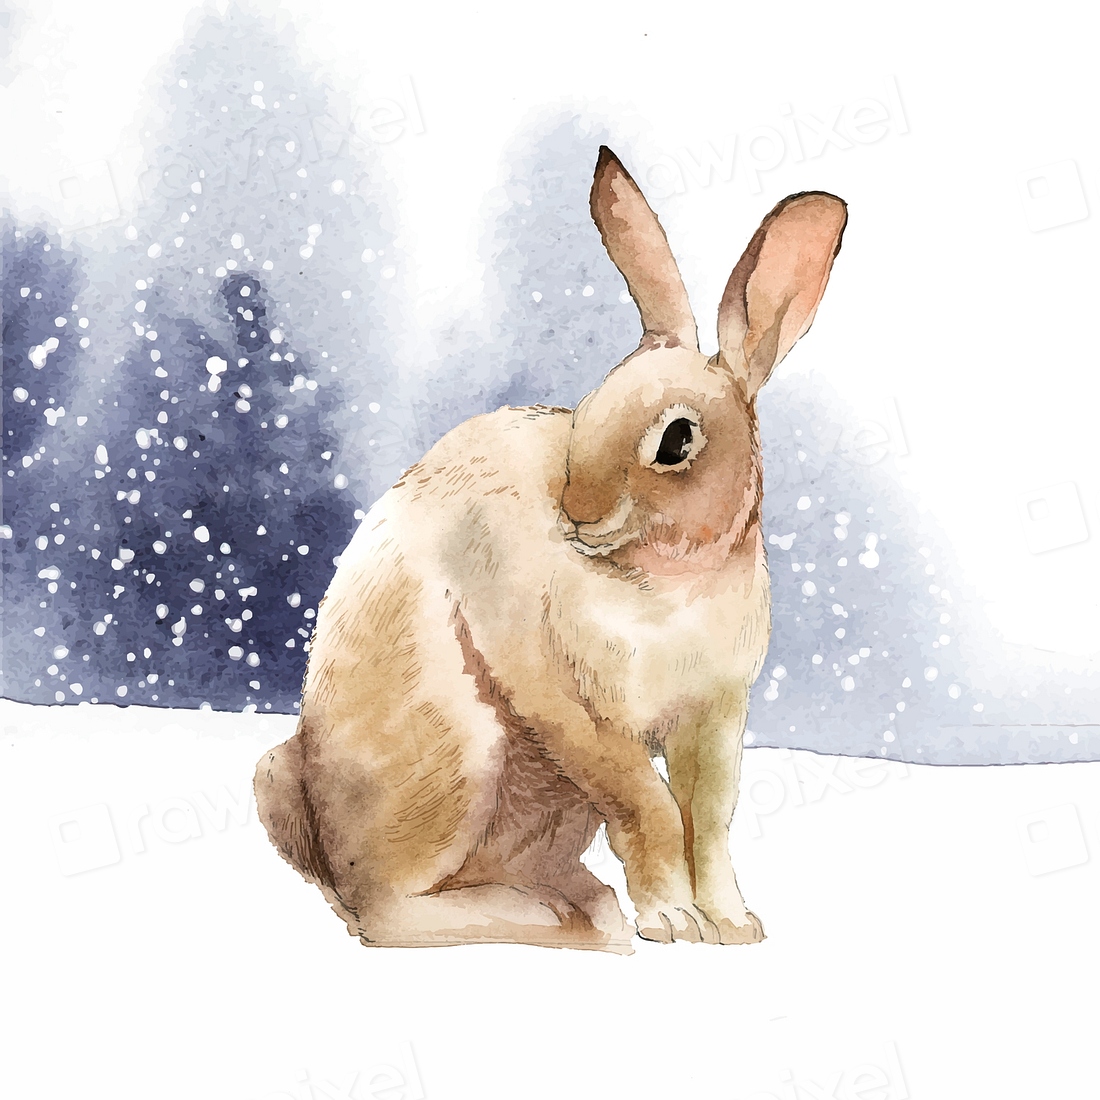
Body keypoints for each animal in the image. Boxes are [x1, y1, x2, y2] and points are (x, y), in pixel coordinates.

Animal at [255, 147, 846, 951]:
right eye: (590, 407)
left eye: (677, 440)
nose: (576, 513)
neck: (671, 580)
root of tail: (320, 836)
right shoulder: (572, 703)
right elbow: (650, 810)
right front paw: (673, 923)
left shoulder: (715, 712)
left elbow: (708, 821)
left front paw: (732, 924)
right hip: (462, 752)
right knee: (385, 912)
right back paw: (558, 922)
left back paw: (586, 909)